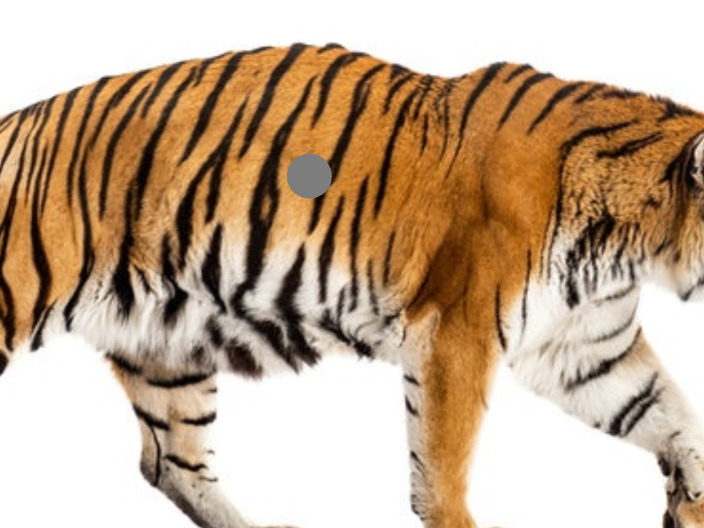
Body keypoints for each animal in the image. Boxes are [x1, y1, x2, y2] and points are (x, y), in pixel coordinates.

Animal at [1, 41, 704, 528]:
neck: (630, 245)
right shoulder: (456, 334)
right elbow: (443, 467)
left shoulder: (584, 347)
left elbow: (672, 416)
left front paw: (689, 500)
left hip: (167, 347)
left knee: (169, 463)